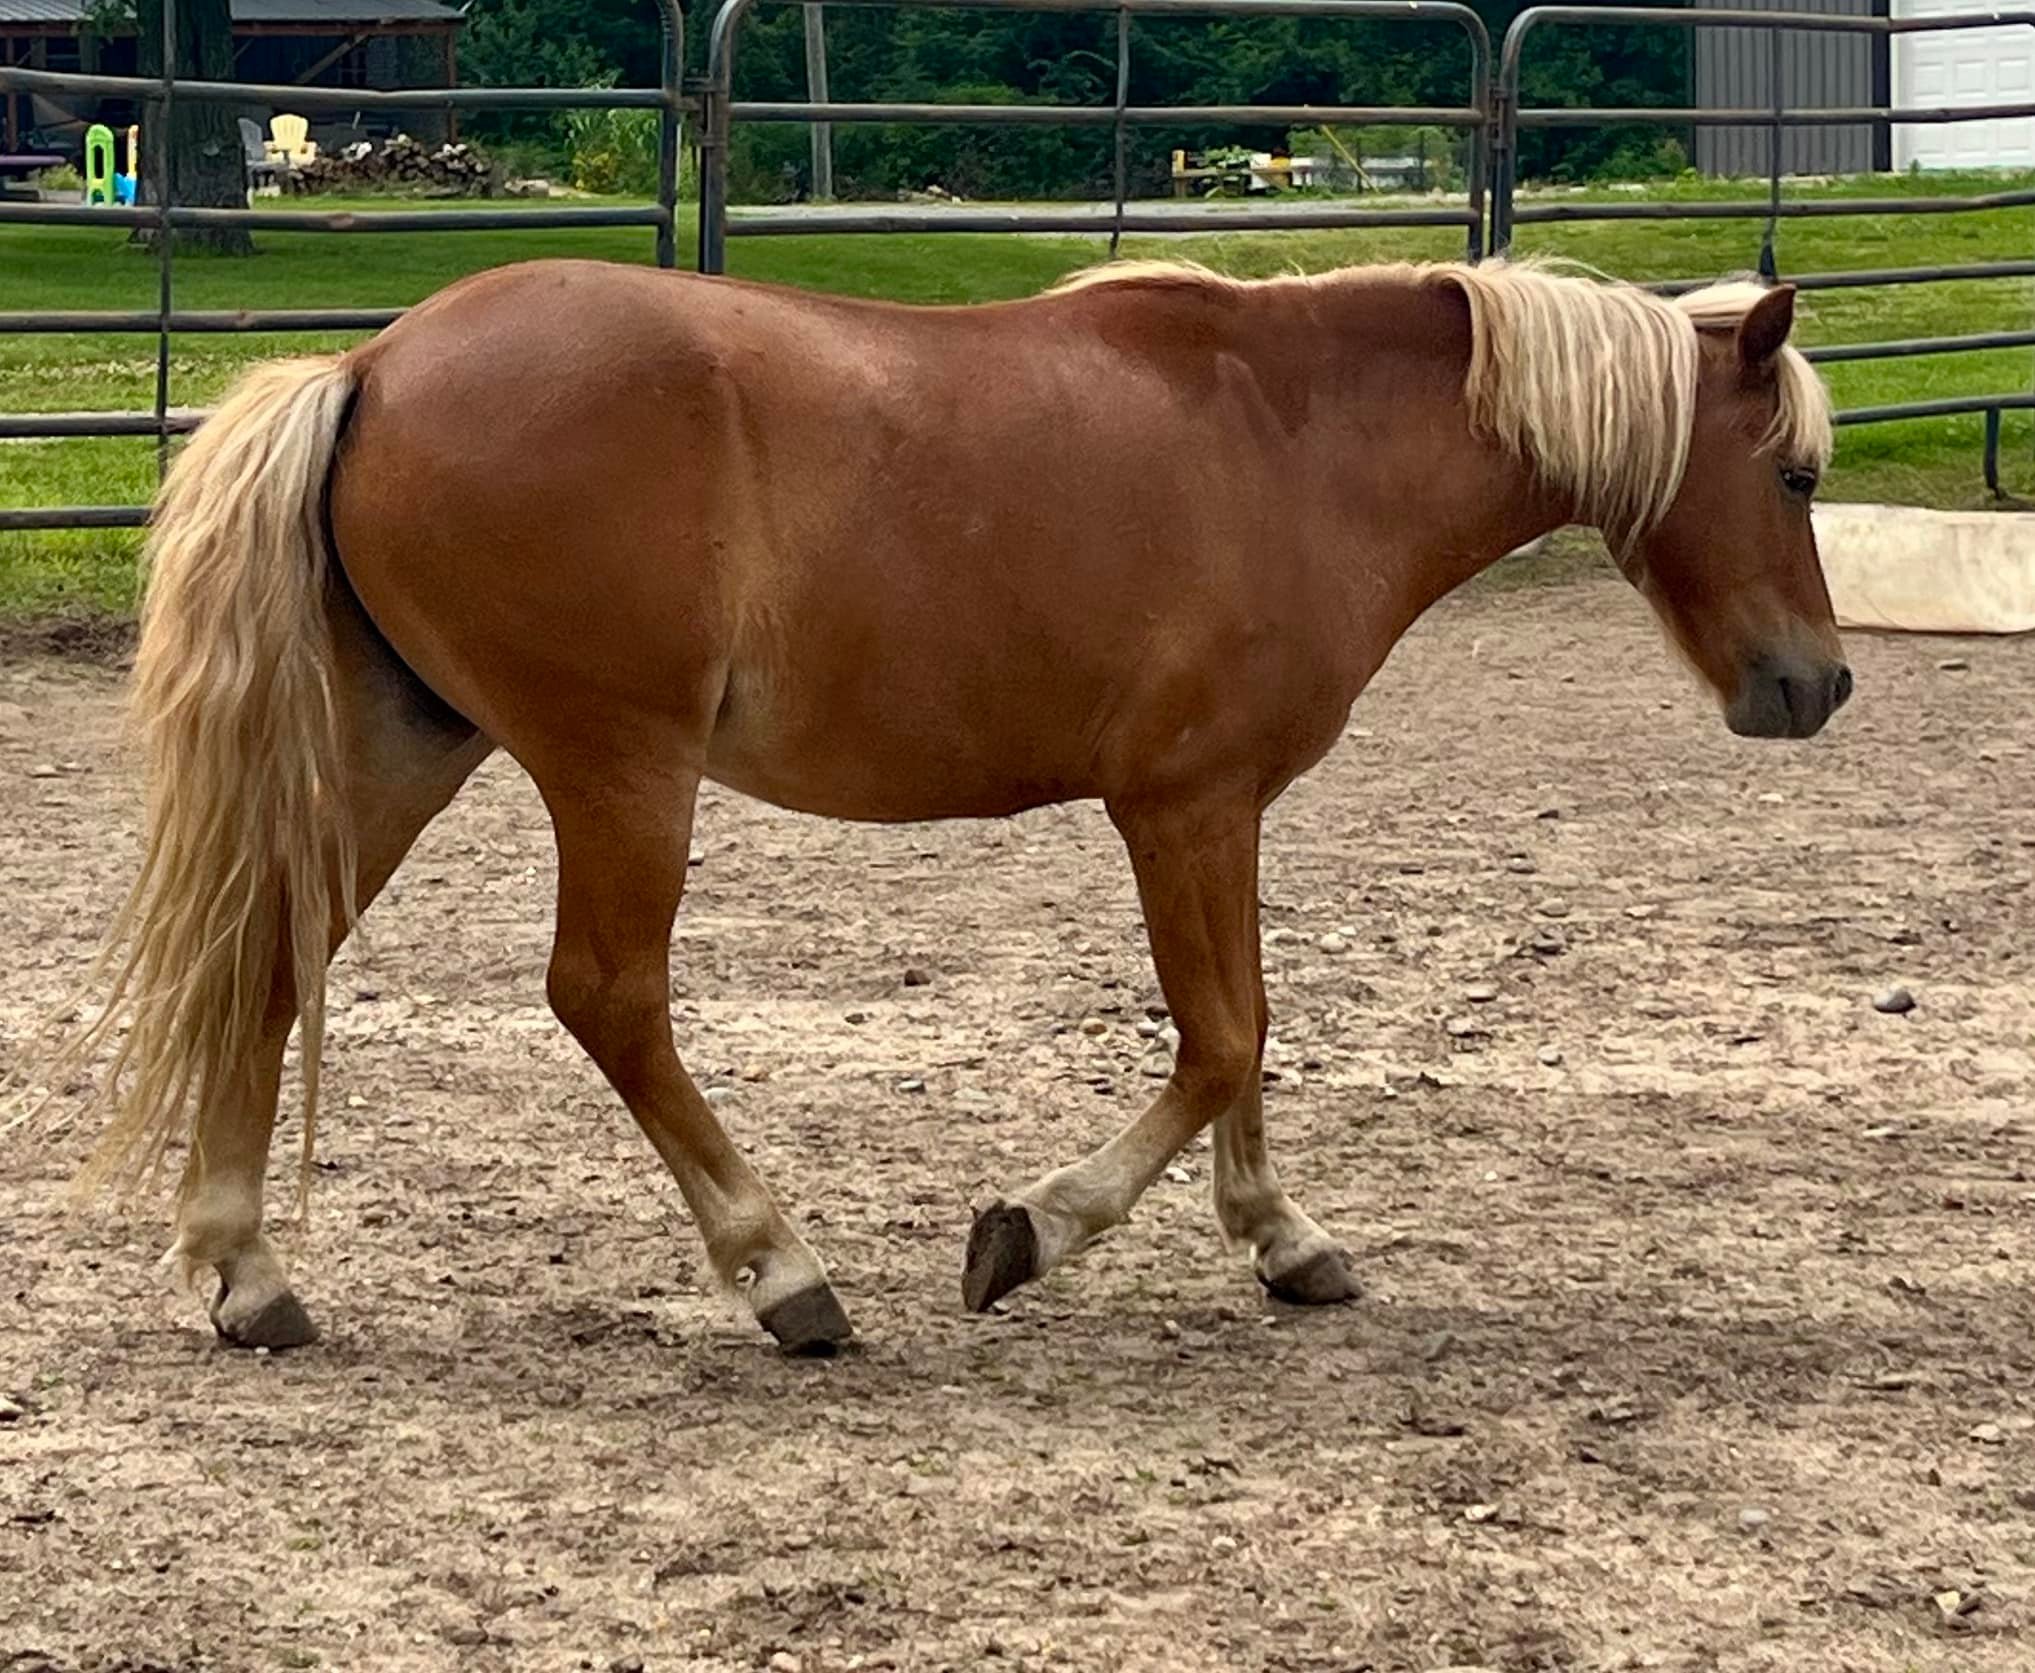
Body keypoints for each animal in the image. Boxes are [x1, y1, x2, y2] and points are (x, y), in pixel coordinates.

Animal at [32, 255, 1847, 1357]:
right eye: (1795, 470)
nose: (1816, 686)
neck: (1294, 438)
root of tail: (373, 365)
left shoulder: (1228, 812)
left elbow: (1253, 1031)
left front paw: (1282, 1240)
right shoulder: (1180, 806)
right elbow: (1221, 1037)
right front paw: (1030, 1230)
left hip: (413, 748)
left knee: (268, 960)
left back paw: (250, 1274)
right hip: (615, 769)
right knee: (606, 995)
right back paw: (783, 1272)